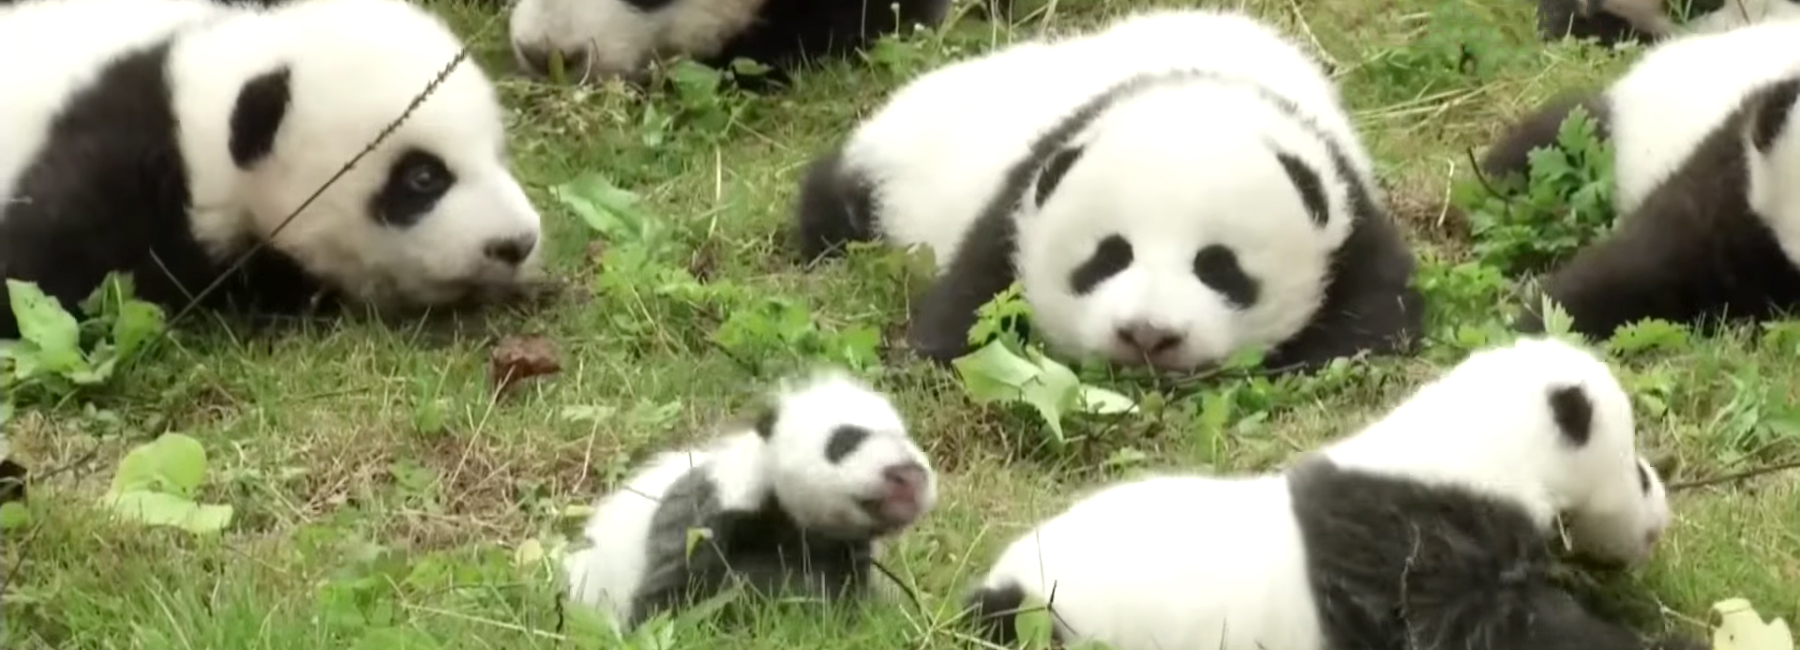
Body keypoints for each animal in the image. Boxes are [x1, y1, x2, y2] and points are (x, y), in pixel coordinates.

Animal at [562, 368, 938, 630]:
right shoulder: (704, 522)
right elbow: (662, 605)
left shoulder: (843, 559)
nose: (908, 476)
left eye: (907, 437)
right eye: (845, 440)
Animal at [792, 8, 1423, 375]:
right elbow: (973, 303)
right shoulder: (1021, 191)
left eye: (1219, 267)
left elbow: (1374, 321)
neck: (1195, 87)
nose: (1148, 334)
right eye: (1108, 256)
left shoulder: (1345, 209)